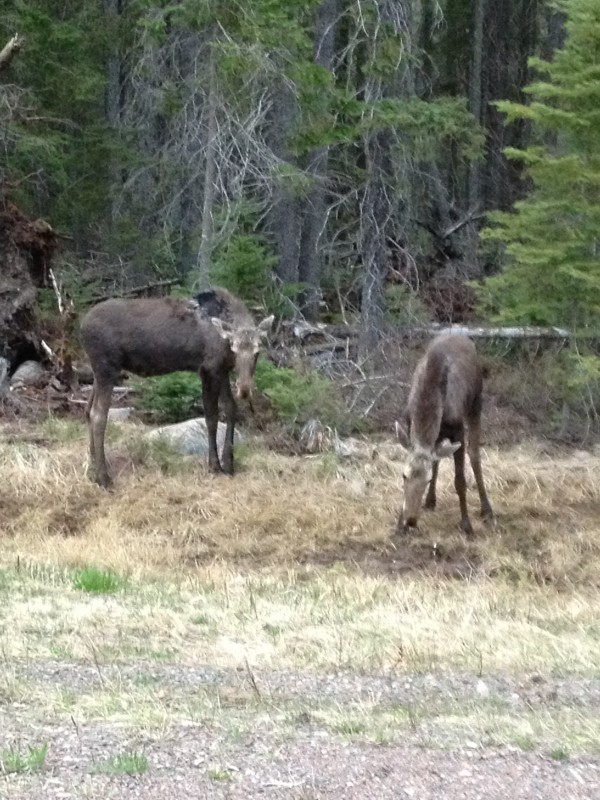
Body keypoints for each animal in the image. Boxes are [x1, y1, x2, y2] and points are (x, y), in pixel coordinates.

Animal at [80, 287, 273, 488]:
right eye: (234, 348)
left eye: (257, 351)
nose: (244, 389)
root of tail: (81, 327)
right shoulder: (208, 369)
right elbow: (211, 417)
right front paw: (214, 465)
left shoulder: (222, 370)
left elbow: (230, 408)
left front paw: (229, 463)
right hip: (106, 368)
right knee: (98, 415)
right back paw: (104, 478)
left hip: (98, 372)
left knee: (88, 410)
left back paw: (93, 465)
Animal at [394, 334, 494, 537]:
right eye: (404, 476)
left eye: (426, 480)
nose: (410, 520)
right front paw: (399, 525)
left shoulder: (458, 431)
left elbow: (460, 481)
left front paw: (467, 526)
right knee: (437, 460)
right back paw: (430, 500)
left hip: (476, 403)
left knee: (474, 454)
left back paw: (487, 510)